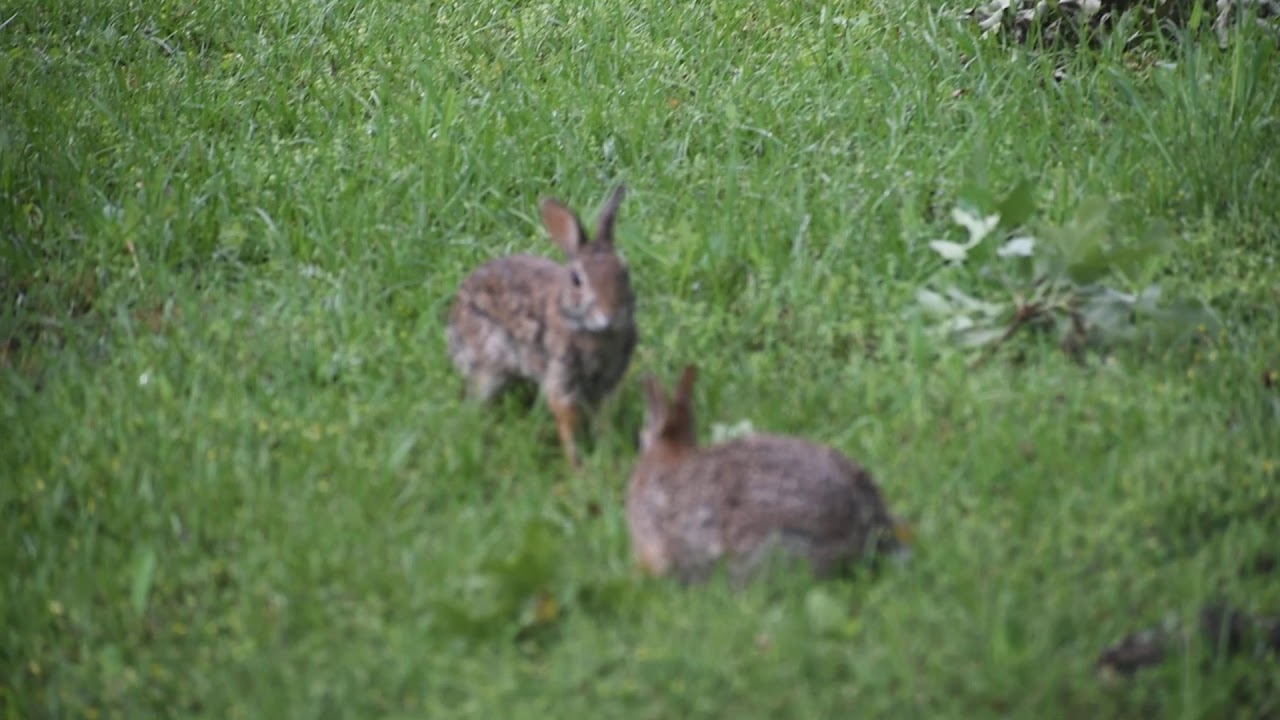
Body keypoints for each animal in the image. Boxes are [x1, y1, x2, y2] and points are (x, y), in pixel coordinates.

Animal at [447, 184, 636, 468]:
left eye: (624, 272)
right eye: (577, 280)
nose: (612, 313)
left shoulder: (607, 386)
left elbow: (603, 421)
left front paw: (607, 455)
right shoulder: (561, 378)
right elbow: (567, 421)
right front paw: (578, 467)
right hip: (489, 361)